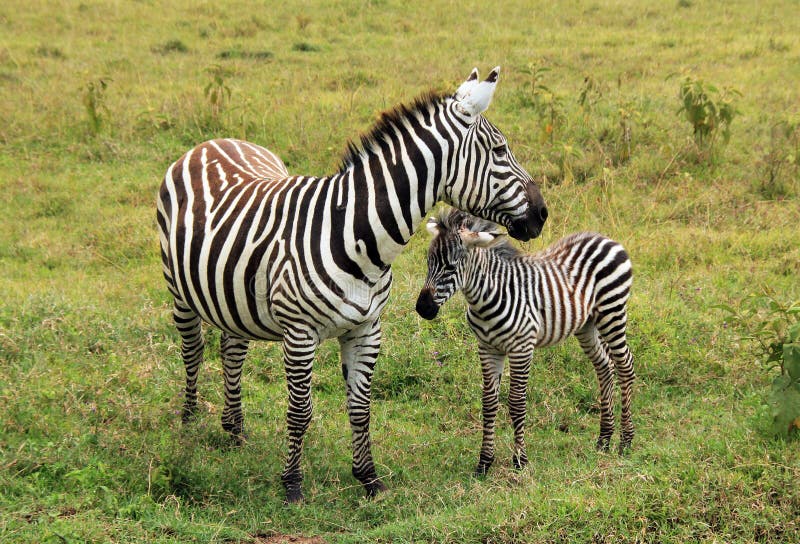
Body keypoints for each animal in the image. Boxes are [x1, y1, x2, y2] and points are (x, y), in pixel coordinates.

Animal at [157, 67, 549, 502]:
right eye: (499, 150)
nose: (542, 214)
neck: (358, 236)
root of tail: (216, 140)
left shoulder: (367, 328)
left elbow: (361, 407)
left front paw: (369, 478)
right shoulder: (300, 333)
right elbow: (300, 410)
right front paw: (292, 484)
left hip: (234, 297)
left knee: (232, 350)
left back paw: (234, 428)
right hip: (180, 290)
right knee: (193, 351)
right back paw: (190, 422)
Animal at [415, 208, 634, 476]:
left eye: (450, 266)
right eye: (428, 263)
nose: (422, 308)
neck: (486, 298)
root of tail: (604, 238)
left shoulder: (521, 348)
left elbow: (517, 403)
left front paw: (520, 460)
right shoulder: (488, 349)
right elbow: (489, 403)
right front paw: (484, 463)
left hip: (612, 311)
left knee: (625, 366)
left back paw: (625, 441)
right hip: (587, 324)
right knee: (604, 366)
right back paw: (604, 439)